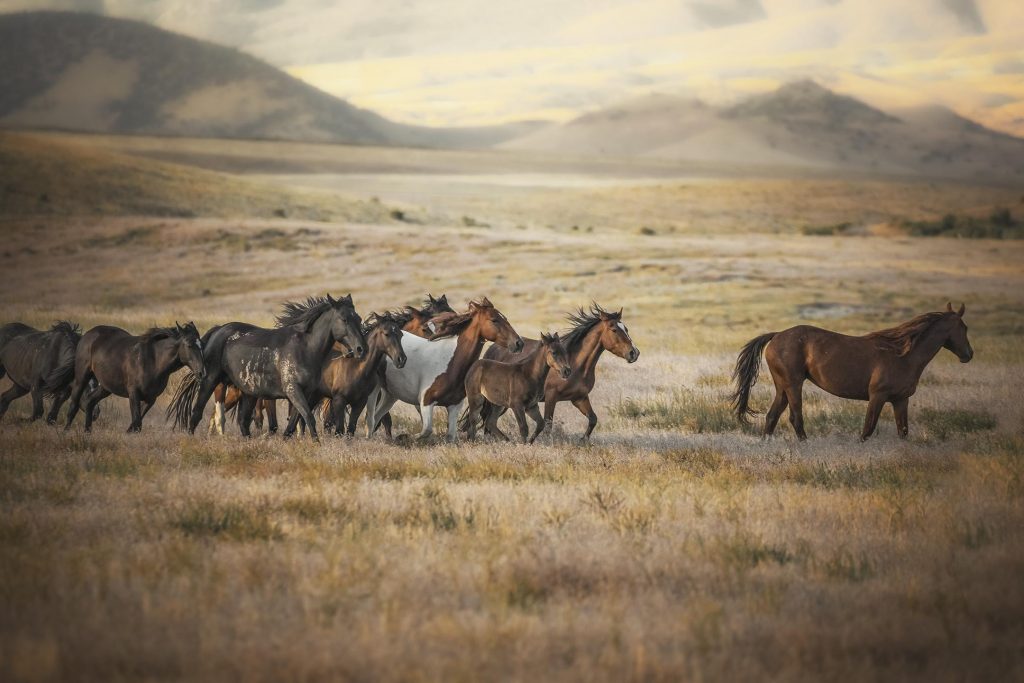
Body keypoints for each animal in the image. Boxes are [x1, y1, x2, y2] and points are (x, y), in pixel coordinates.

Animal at [64, 322, 205, 432]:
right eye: (189, 345)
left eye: (201, 345)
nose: (202, 373)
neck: (153, 361)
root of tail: (88, 335)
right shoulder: (134, 393)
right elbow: (136, 423)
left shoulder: (150, 398)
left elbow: (135, 424)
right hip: (82, 377)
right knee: (74, 405)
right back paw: (66, 432)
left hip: (106, 387)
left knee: (89, 401)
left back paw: (87, 432)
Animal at [167, 294, 365, 441]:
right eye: (344, 319)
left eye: (359, 318)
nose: (360, 349)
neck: (304, 347)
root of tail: (219, 330)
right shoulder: (293, 390)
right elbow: (308, 417)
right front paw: (316, 444)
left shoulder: (306, 393)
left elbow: (295, 421)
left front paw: (287, 440)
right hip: (210, 381)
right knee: (197, 412)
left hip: (248, 392)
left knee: (243, 421)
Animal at [365, 297, 523, 442]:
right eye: (494, 320)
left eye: (504, 318)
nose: (519, 343)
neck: (450, 362)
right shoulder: (426, 403)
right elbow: (426, 430)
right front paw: (403, 437)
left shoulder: (454, 406)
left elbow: (450, 436)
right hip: (374, 391)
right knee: (371, 417)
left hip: (390, 395)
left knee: (377, 416)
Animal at [471, 304, 639, 441]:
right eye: (614, 329)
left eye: (627, 329)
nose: (634, 353)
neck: (577, 364)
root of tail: (494, 348)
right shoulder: (551, 397)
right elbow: (547, 425)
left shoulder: (579, 398)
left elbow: (593, 419)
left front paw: (583, 441)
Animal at [731, 302, 974, 441]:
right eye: (964, 327)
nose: (969, 354)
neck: (903, 355)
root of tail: (776, 335)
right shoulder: (877, 396)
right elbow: (867, 429)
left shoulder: (901, 400)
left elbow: (903, 431)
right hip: (793, 384)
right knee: (795, 417)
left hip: (782, 387)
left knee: (772, 416)